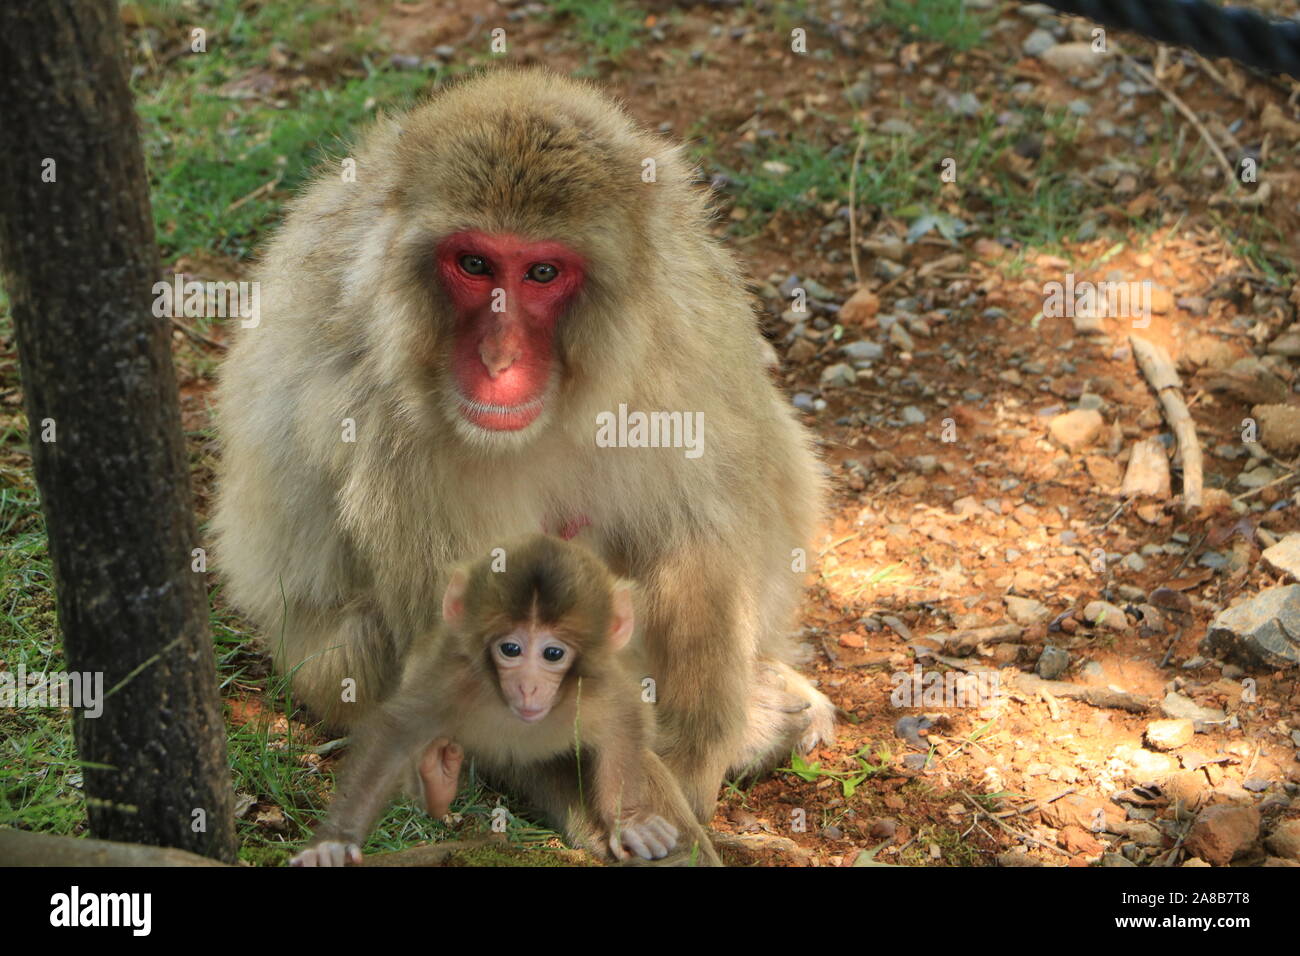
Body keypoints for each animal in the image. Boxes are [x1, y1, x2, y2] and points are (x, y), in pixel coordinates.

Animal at [213, 67, 833, 827]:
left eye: (542, 273)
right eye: (475, 263)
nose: (499, 358)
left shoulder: (689, 328)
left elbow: (701, 525)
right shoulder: (395, 437)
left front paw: (690, 760)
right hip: (327, 666)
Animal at [290, 535, 719, 866]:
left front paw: (630, 821)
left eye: (553, 654)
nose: (528, 687)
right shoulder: (455, 680)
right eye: (510, 649)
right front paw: (334, 842)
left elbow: (625, 724)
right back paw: (436, 778)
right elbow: (395, 734)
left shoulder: (597, 687)